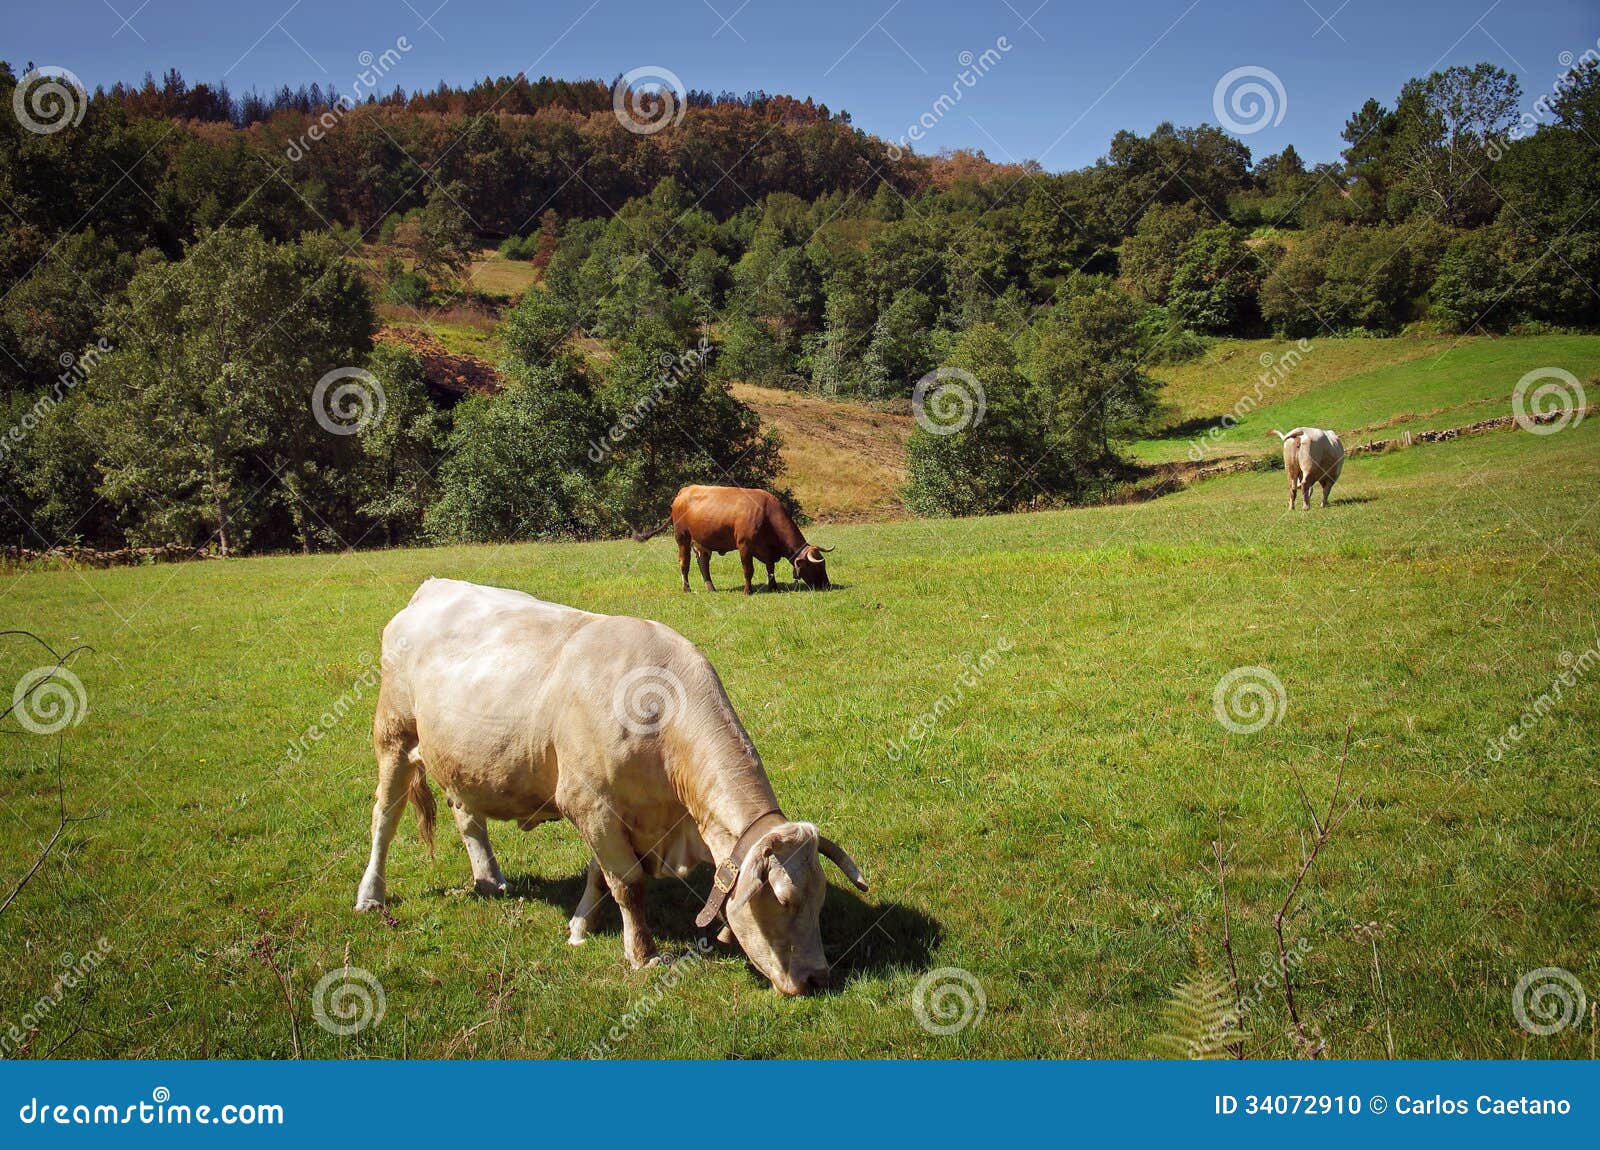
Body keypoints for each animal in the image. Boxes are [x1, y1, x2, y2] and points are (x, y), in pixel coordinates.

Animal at [355, 578, 868, 996]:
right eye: (783, 899)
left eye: (821, 897)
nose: (817, 978)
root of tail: (432, 587)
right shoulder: (591, 806)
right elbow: (627, 884)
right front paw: (642, 955)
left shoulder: (613, 813)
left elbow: (598, 875)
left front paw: (580, 926)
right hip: (394, 737)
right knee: (384, 817)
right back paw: (370, 895)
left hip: (462, 761)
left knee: (467, 816)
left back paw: (489, 878)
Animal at [670, 484, 833, 594]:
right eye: (815, 566)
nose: (827, 585)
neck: (766, 514)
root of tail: (687, 489)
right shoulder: (745, 545)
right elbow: (748, 570)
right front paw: (747, 591)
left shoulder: (768, 551)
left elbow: (770, 569)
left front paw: (774, 587)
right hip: (682, 538)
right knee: (684, 563)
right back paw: (686, 588)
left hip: (703, 542)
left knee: (703, 563)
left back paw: (711, 587)